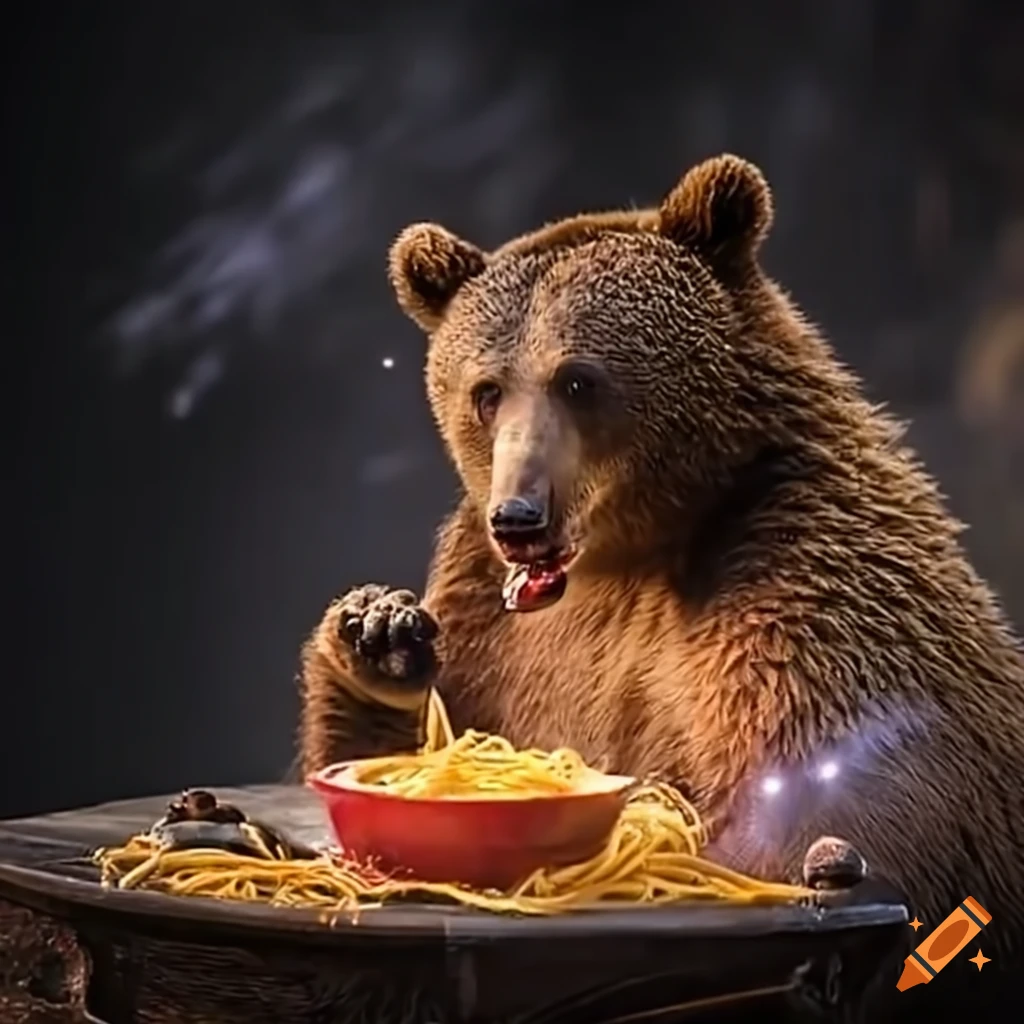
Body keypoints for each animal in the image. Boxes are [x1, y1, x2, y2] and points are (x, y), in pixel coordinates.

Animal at [299, 154, 1024, 1018]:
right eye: (486, 390)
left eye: (577, 381)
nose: (519, 516)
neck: (631, 551)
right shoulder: (495, 617)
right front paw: (381, 633)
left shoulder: (800, 596)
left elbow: (811, 804)